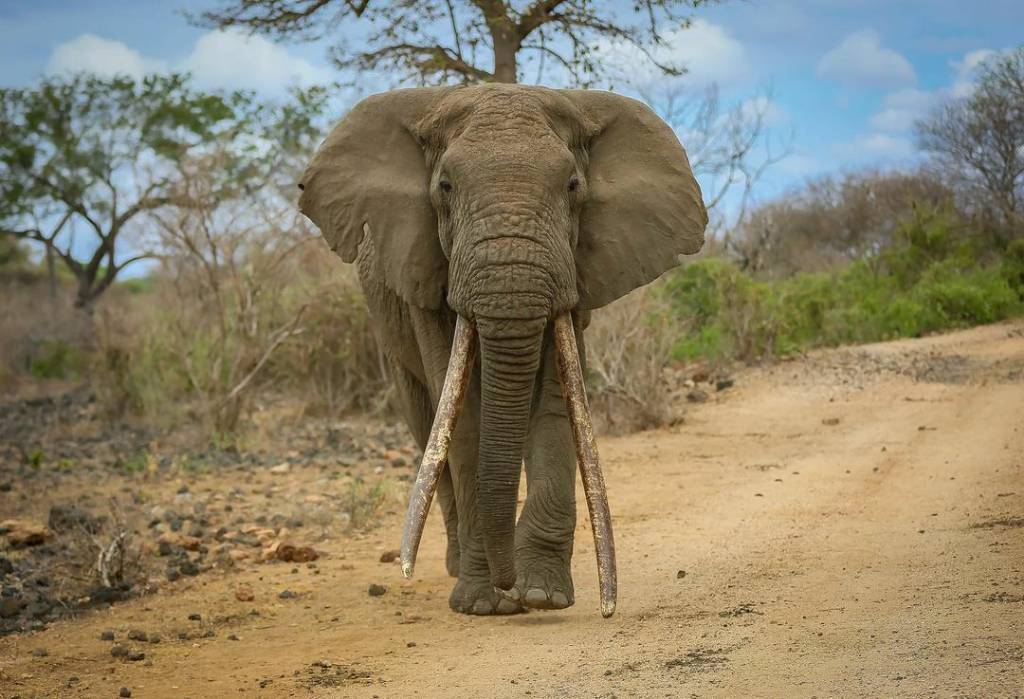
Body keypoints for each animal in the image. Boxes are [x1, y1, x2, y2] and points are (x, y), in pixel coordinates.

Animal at [298, 84, 706, 617]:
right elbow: (463, 416)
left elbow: (557, 403)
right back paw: (457, 567)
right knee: (425, 422)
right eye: (445, 187)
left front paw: (542, 595)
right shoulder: (426, 275)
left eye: (572, 186)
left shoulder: (575, 272)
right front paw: (485, 603)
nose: (508, 585)